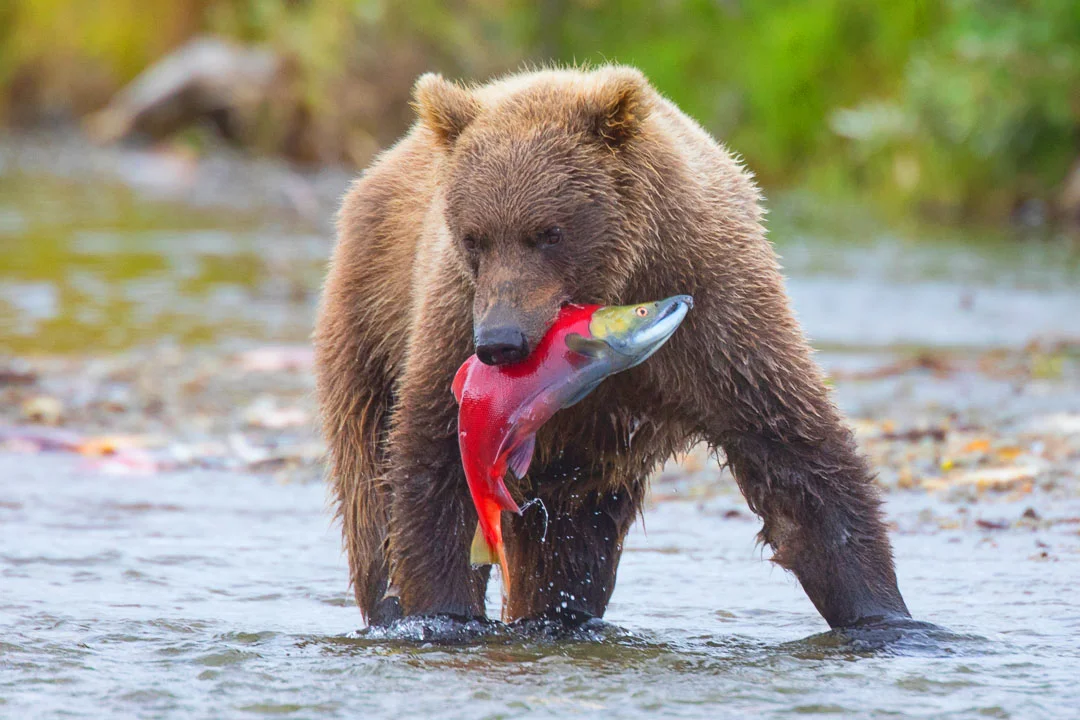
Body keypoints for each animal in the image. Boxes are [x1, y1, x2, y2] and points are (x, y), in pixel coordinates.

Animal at [313, 65, 911, 630]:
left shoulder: (719, 316)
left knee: (570, 542)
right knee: (369, 481)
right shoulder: (452, 320)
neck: (617, 281)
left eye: (549, 232)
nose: (500, 343)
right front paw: (441, 613)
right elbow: (431, 468)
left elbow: (796, 457)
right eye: (473, 237)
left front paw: (885, 616)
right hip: (370, 322)